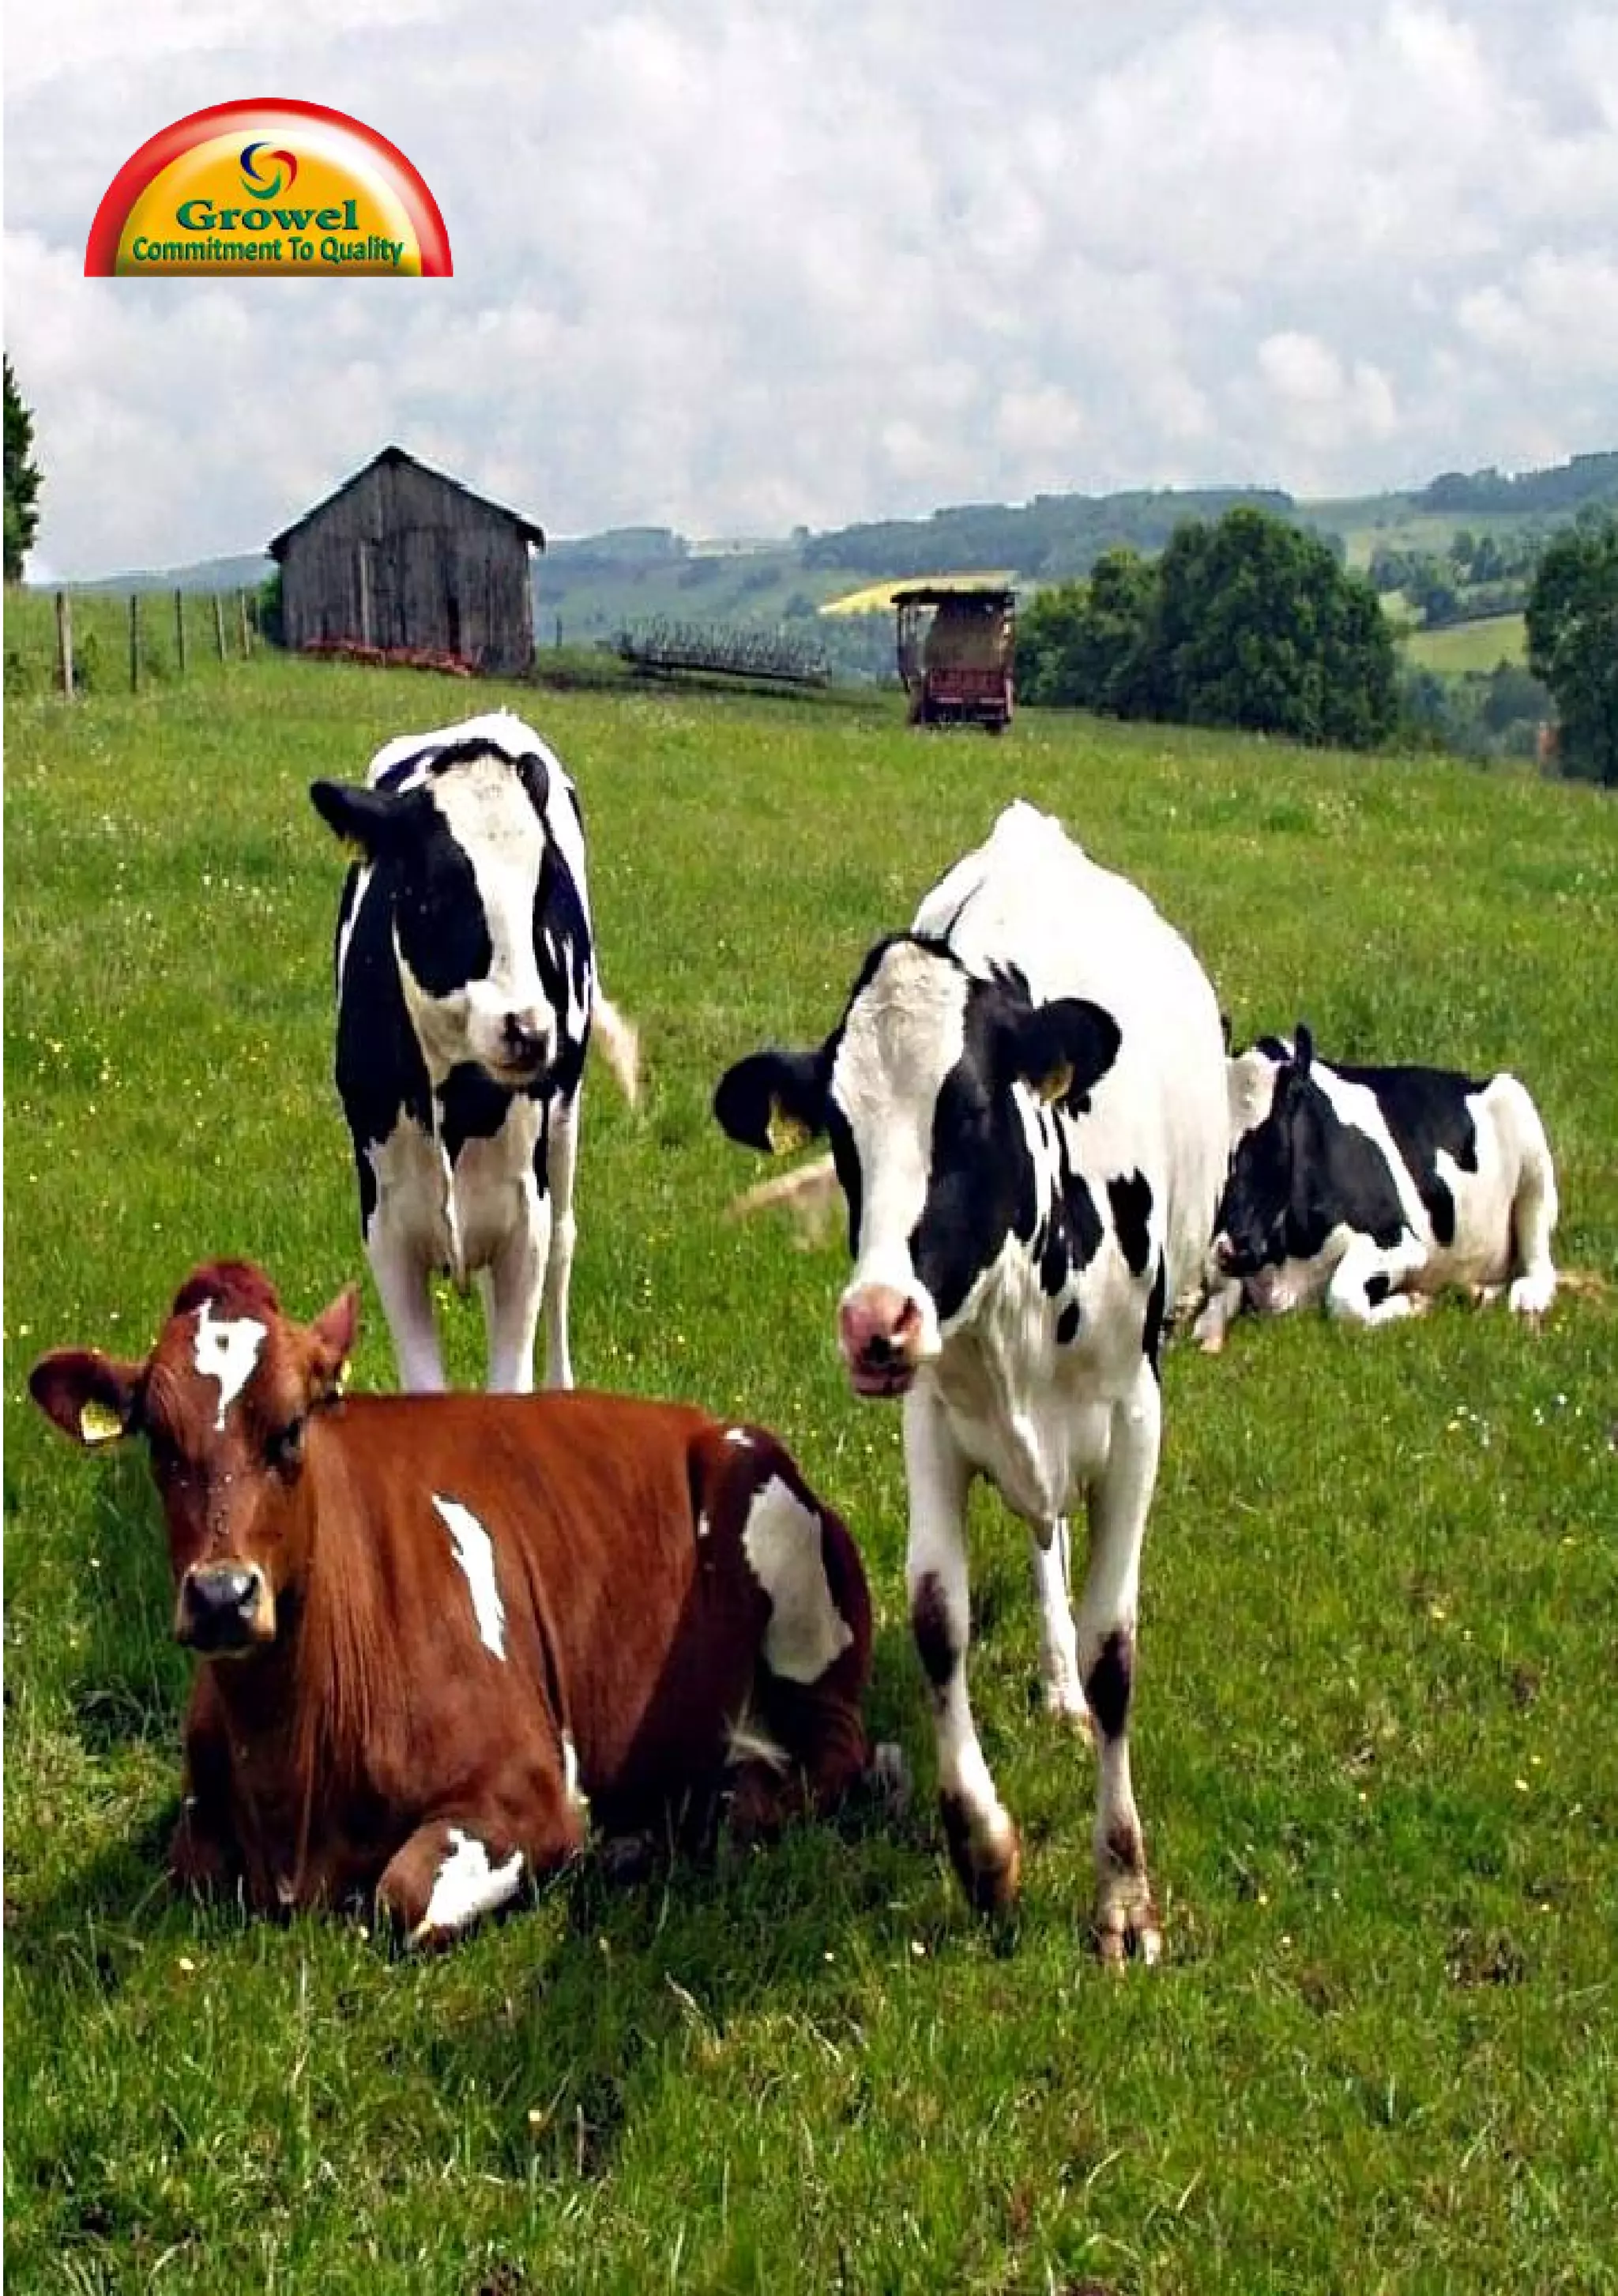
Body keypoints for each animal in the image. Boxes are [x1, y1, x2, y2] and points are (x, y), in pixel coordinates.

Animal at [29, 1260, 884, 1947]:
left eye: (293, 1426)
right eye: (156, 1439)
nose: (221, 1596)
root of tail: (704, 1420)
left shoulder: (527, 1788)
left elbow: (398, 1898)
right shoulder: (199, 1830)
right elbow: (195, 1867)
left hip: (790, 1575)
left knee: (834, 1749)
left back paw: (717, 1816)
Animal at [308, 709, 639, 1395]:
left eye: (547, 895)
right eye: (438, 889)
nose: (531, 1031)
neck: (455, 1097)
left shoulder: (525, 1218)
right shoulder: (385, 1226)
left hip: (563, 1131)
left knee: (565, 1244)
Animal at [712, 801, 1228, 1963]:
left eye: (974, 1112)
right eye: (841, 1135)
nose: (874, 1321)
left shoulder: (1138, 1417)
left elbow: (1116, 1646)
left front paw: (1122, 1889)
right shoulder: (930, 1417)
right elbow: (937, 1616)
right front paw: (984, 1851)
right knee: (1041, 1536)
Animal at [1197, 1023, 1559, 1339]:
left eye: (1276, 1142)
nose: (1232, 1250)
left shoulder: (1399, 1241)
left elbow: (1343, 1299)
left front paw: (1412, 1303)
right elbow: (1214, 1303)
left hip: (1524, 1123)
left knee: (1539, 1254)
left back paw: (1529, 1297)